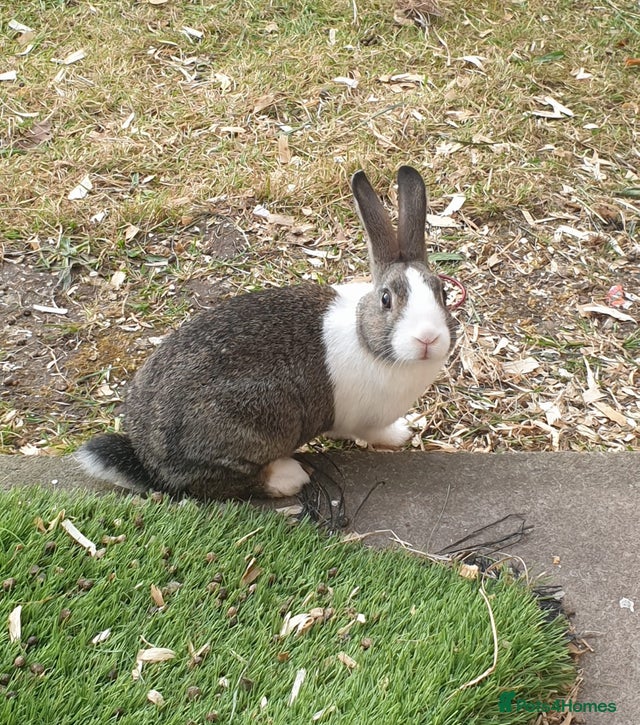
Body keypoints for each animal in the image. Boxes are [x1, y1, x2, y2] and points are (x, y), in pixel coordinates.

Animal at [75, 166, 458, 501]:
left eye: (443, 293)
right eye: (386, 299)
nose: (427, 338)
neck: (368, 339)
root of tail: (149, 460)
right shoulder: (364, 420)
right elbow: (372, 432)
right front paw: (401, 433)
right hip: (251, 431)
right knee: (221, 484)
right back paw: (288, 477)